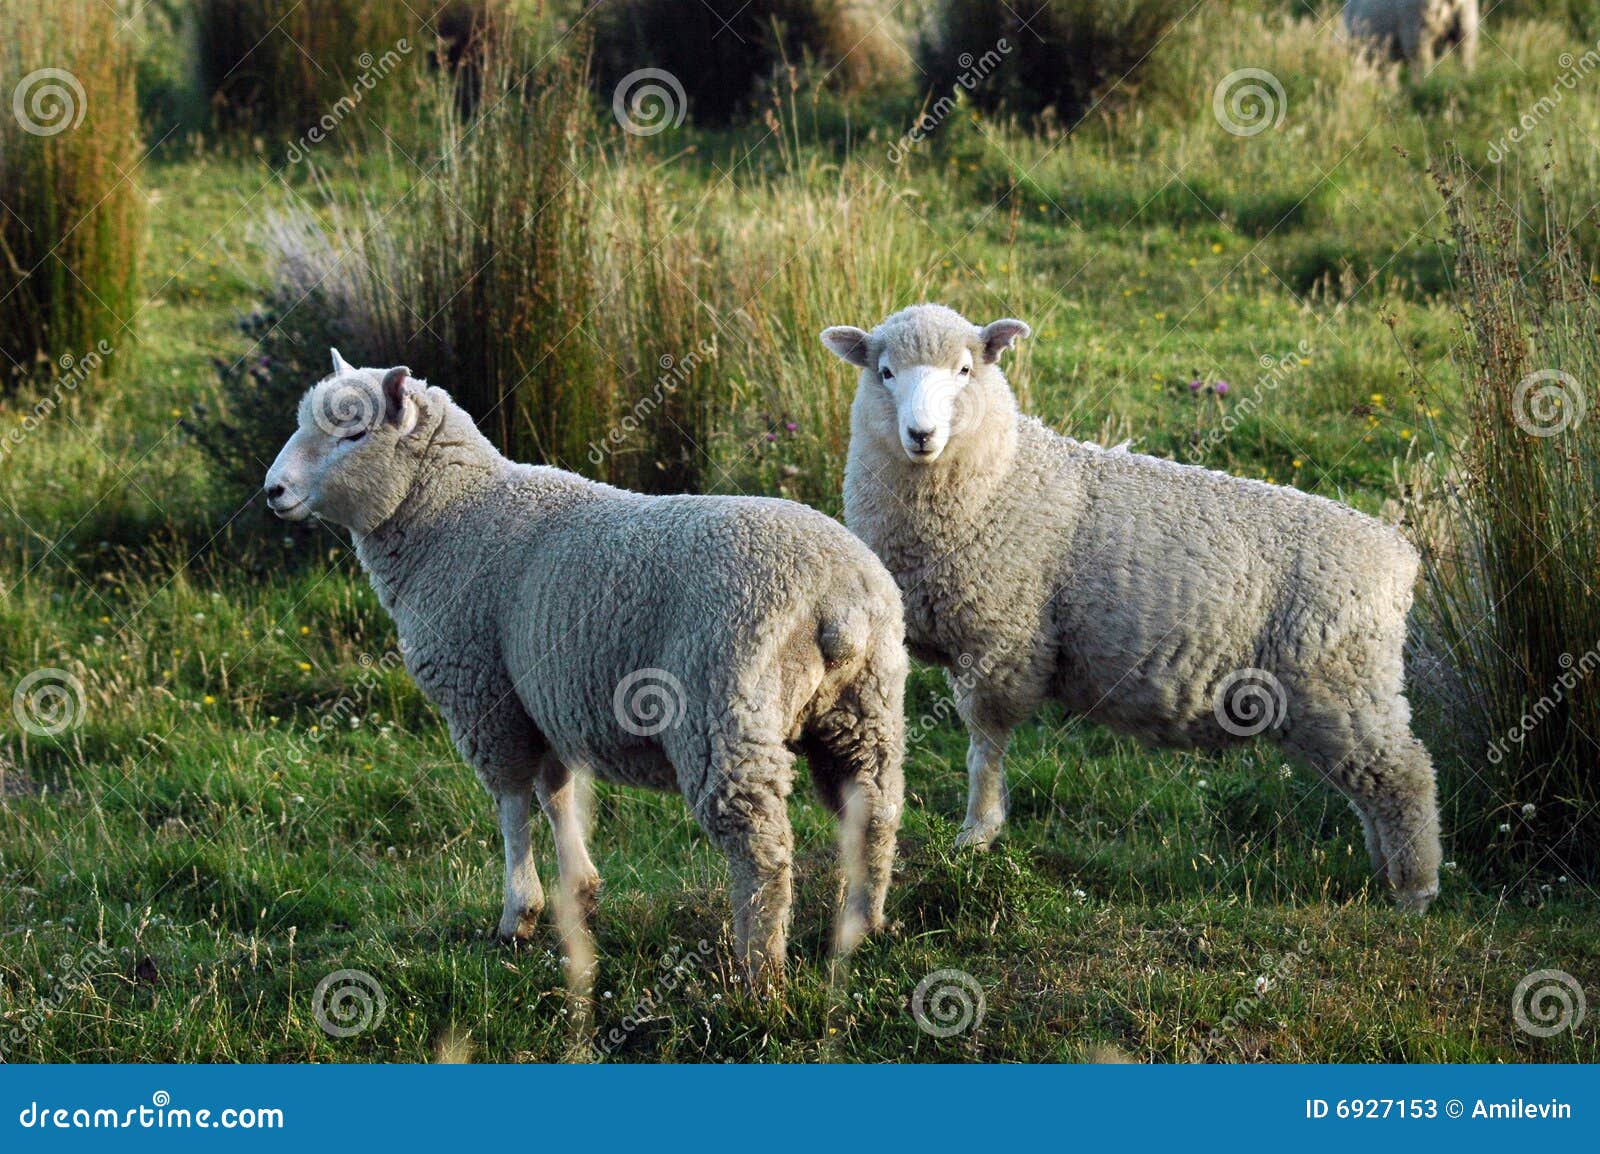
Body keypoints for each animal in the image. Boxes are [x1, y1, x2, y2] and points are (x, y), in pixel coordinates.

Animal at [263, 350, 907, 985]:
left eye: (354, 431)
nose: (273, 490)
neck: (452, 515)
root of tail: (838, 598)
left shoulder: (484, 696)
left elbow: (512, 804)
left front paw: (517, 914)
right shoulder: (541, 698)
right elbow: (556, 793)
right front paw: (580, 889)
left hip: (723, 710)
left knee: (760, 847)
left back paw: (757, 969)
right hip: (864, 706)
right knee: (874, 813)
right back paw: (862, 926)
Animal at [821, 305, 1442, 912]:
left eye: (966, 370)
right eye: (885, 373)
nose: (921, 434)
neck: (1003, 476)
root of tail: (1398, 556)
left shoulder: (1000, 641)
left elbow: (984, 750)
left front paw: (977, 834)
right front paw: (980, 832)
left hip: (1343, 680)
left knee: (1406, 776)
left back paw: (1415, 891)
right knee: (1373, 785)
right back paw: (1385, 874)